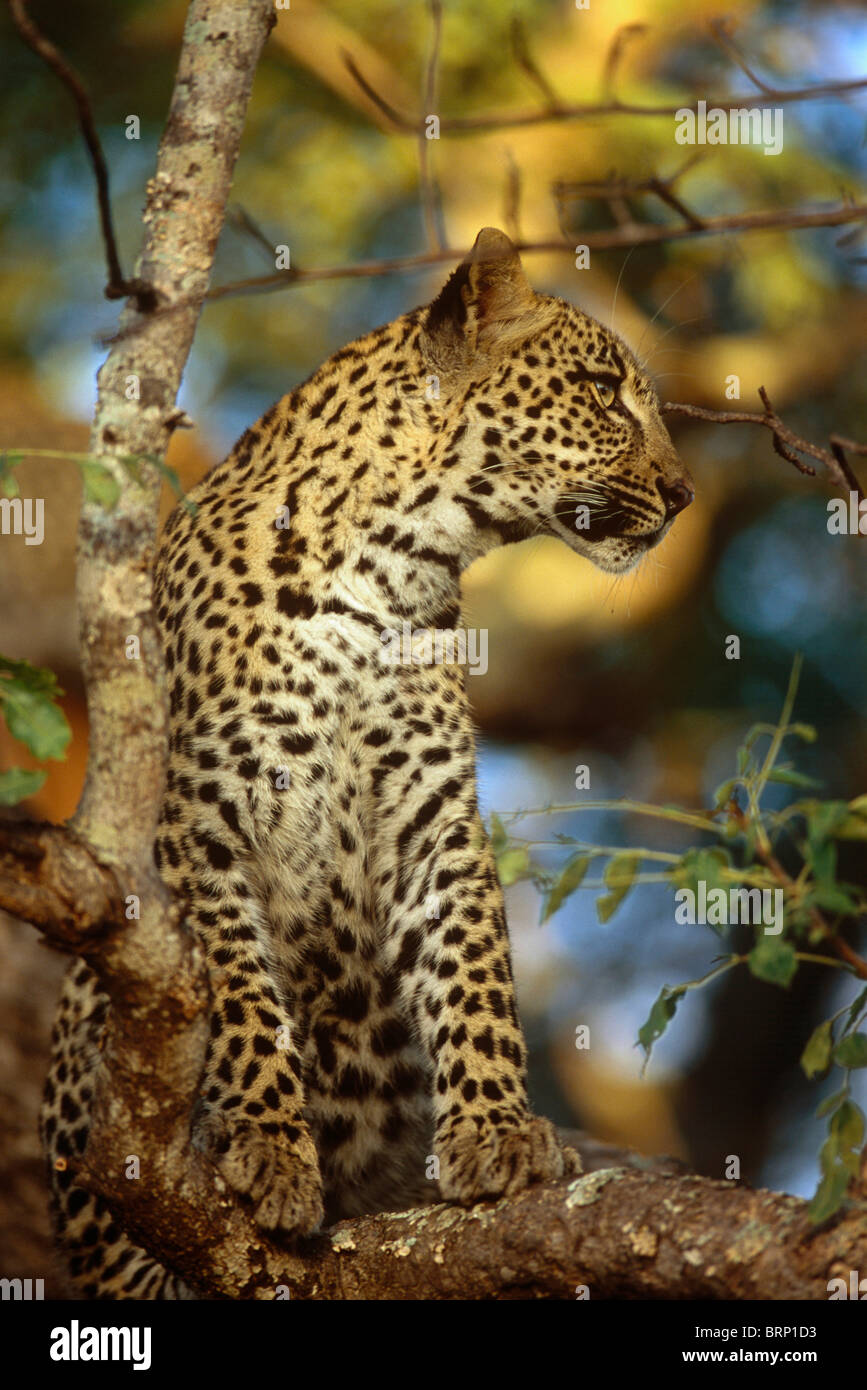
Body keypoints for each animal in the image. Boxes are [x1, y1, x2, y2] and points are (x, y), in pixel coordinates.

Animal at [40, 228, 693, 1298]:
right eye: (603, 391)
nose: (681, 497)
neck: (390, 561)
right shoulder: (203, 818)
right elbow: (241, 995)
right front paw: (266, 1147)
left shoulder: (432, 816)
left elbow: (474, 973)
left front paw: (497, 1131)